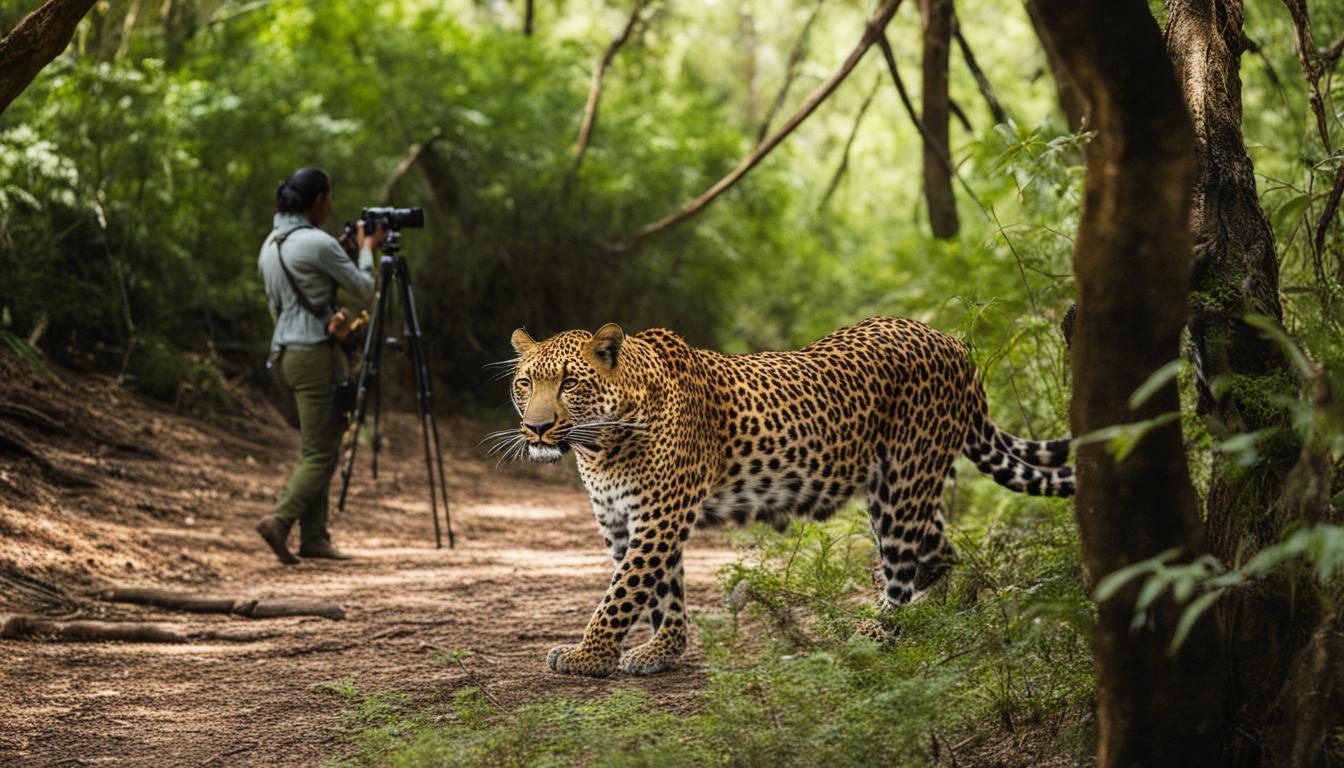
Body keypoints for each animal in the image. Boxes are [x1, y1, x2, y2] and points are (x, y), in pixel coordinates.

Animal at [502, 316, 1073, 677]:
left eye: (570, 383)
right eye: (525, 383)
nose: (537, 428)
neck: (600, 447)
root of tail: (951, 342)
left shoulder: (660, 517)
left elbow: (622, 593)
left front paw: (587, 656)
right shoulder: (622, 522)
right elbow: (660, 593)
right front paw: (661, 650)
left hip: (904, 482)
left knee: (903, 568)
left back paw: (876, 634)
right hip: (897, 489)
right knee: (939, 551)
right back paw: (942, 616)